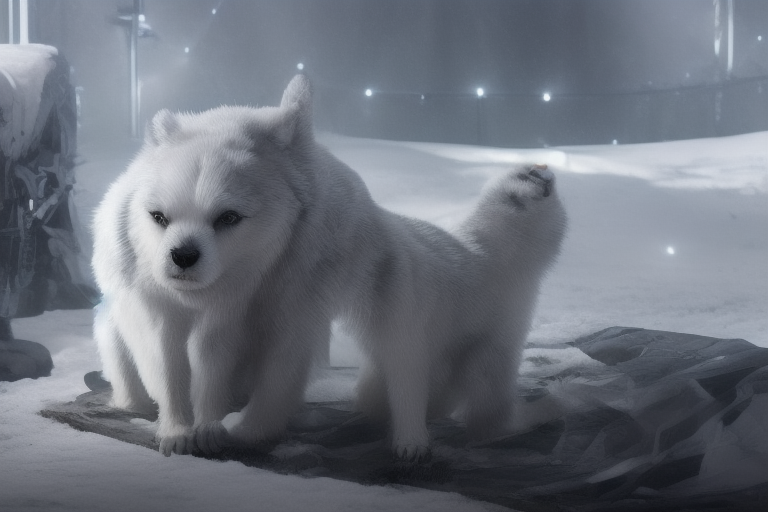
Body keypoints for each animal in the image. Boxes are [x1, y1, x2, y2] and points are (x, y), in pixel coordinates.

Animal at [92, 75, 566, 460]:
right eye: (158, 217)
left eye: (228, 217)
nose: (182, 256)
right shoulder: (153, 303)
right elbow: (166, 361)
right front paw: (177, 432)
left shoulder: (284, 302)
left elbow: (243, 367)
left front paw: (218, 428)